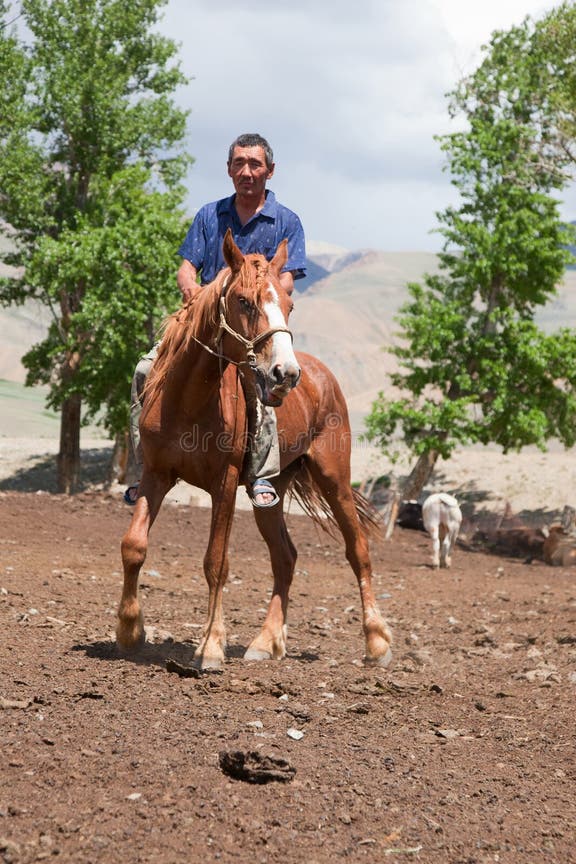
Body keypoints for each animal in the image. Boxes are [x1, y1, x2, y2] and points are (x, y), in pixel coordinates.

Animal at [116, 229, 392, 669]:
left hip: (334, 478)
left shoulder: (225, 483)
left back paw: (377, 642)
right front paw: (129, 630)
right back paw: (265, 641)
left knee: (358, 551)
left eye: (289, 304)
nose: (285, 373)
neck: (189, 399)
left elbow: (216, 562)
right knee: (285, 557)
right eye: (244, 301)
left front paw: (211, 646)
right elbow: (134, 546)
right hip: (271, 492)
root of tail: (322, 376)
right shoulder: (155, 474)